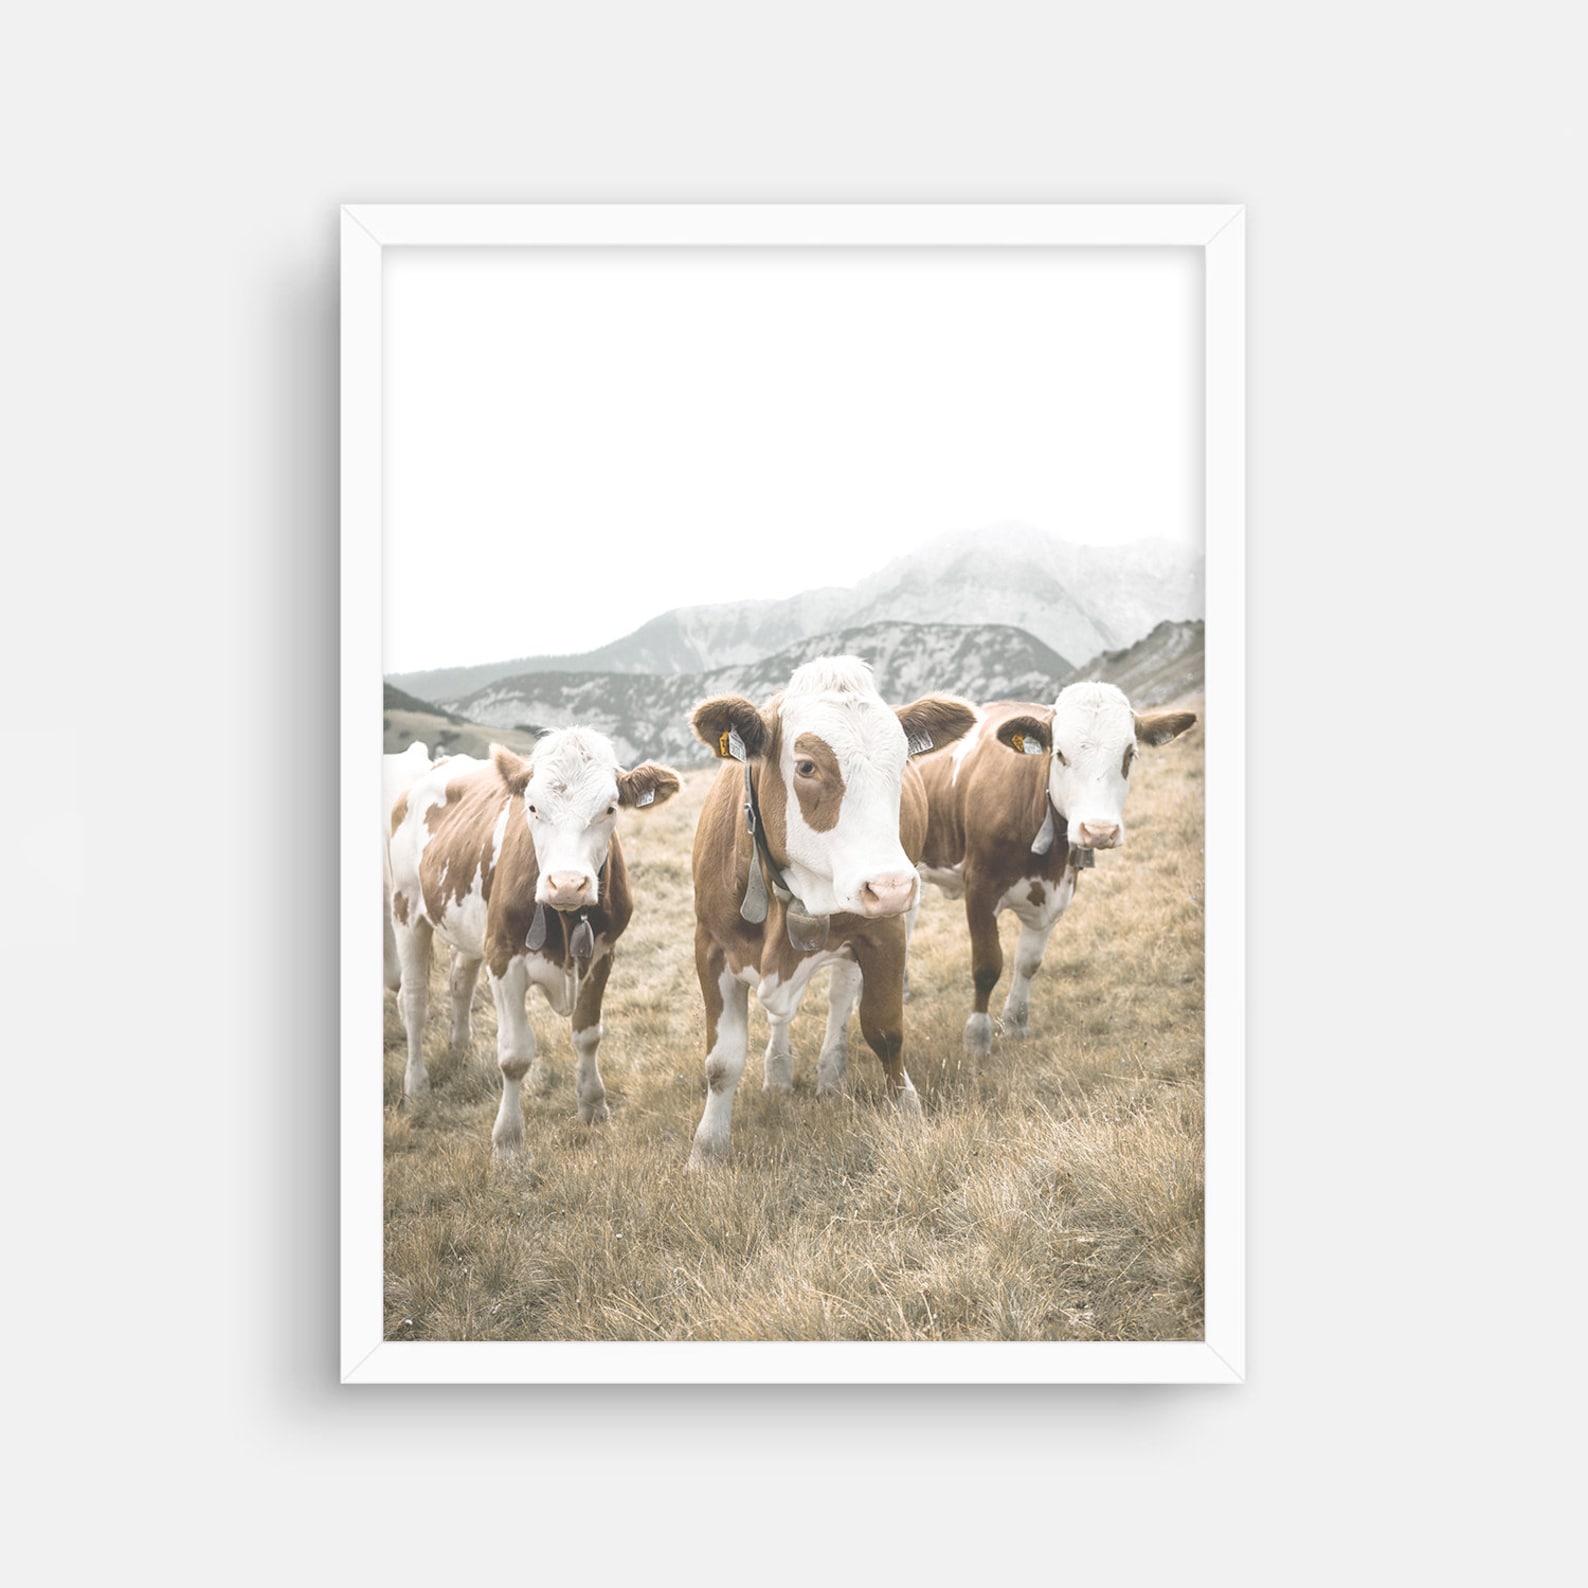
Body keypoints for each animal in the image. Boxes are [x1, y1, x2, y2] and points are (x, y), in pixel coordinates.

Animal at [386, 728, 681, 1160]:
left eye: (610, 809)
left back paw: (459, 1048)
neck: (567, 918)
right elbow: (514, 1055)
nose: (567, 884)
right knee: (414, 1001)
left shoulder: (602, 956)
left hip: (468, 927)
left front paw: (593, 1105)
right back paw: (416, 1085)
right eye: (533, 807)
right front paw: (507, 1140)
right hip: (406, 908)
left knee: (459, 981)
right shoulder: (503, 959)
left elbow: (588, 1034)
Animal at [687, 656, 977, 1167]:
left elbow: (885, 1030)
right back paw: (779, 1072)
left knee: (842, 996)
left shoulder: (885, 932)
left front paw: (907, 1112)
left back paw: (829, 1070)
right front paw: (707, 1149)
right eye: (806, 765)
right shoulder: (710, 946)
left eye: (902, 762)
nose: (891, 886)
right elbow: (721, 1061)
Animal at [915, 681, 1197, 1055]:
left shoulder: (1056, 893)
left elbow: (1028, 963)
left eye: (1130, 754)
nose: (1099, 830)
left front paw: (1015, 1022)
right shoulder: (979, 887)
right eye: (1060, 754)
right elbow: (987, 965)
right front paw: (977, 1037)